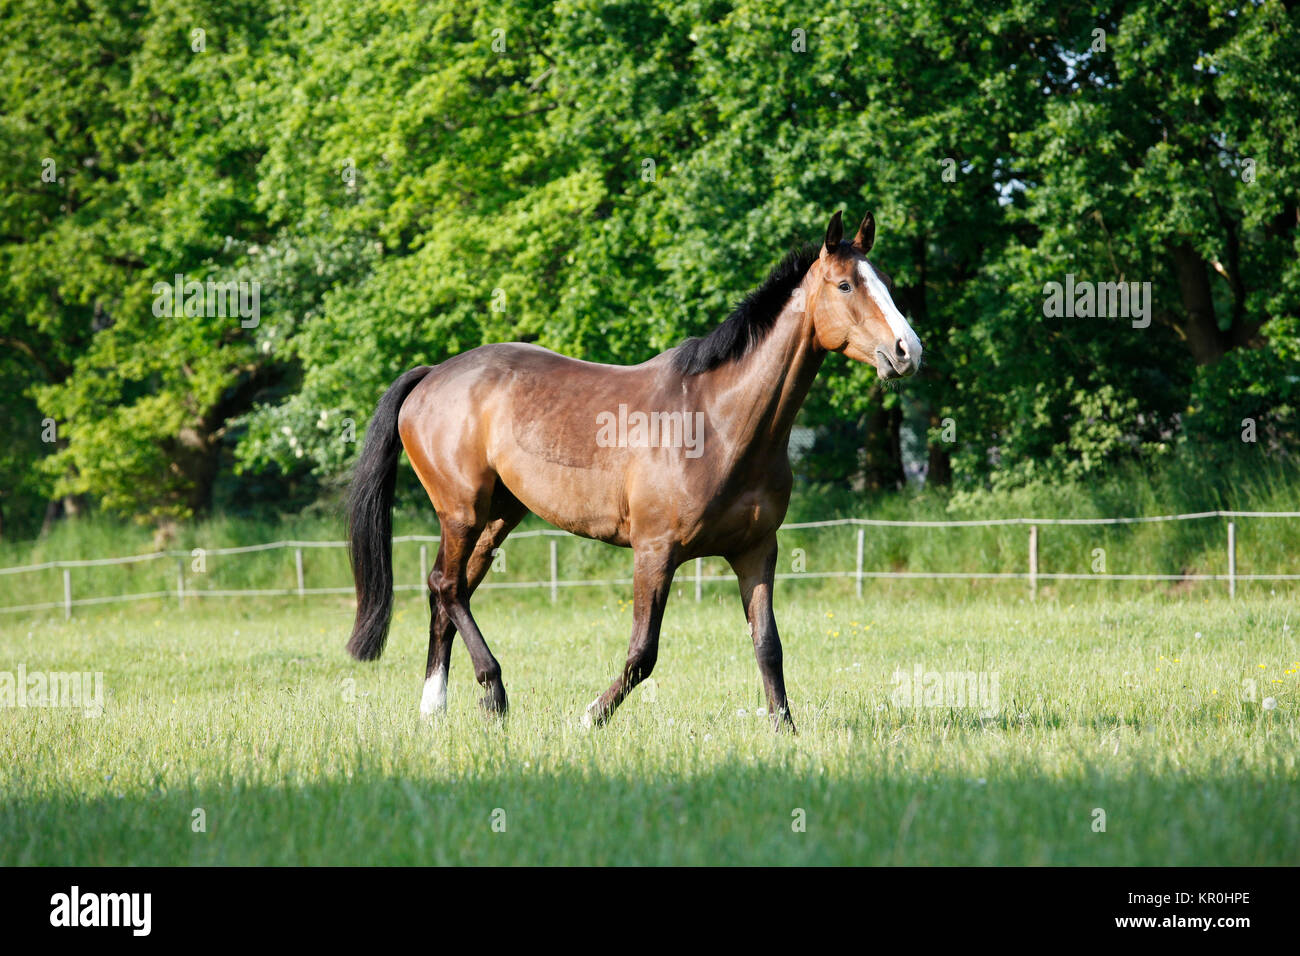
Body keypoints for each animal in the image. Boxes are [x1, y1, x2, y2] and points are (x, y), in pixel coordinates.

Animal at [345, 210, 922, 732]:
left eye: (888, 285)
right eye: (845, 284)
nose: (907, 350)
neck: (717, 420)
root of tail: (431, 376)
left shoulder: (756, 550)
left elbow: (769, 645)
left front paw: (785, 729)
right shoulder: (655, 551)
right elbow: (643, 653)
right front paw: (589, 717)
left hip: (496, 518)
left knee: (451, 591)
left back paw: (436, 708)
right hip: (461, 511)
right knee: (445, 586)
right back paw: (492, 691)